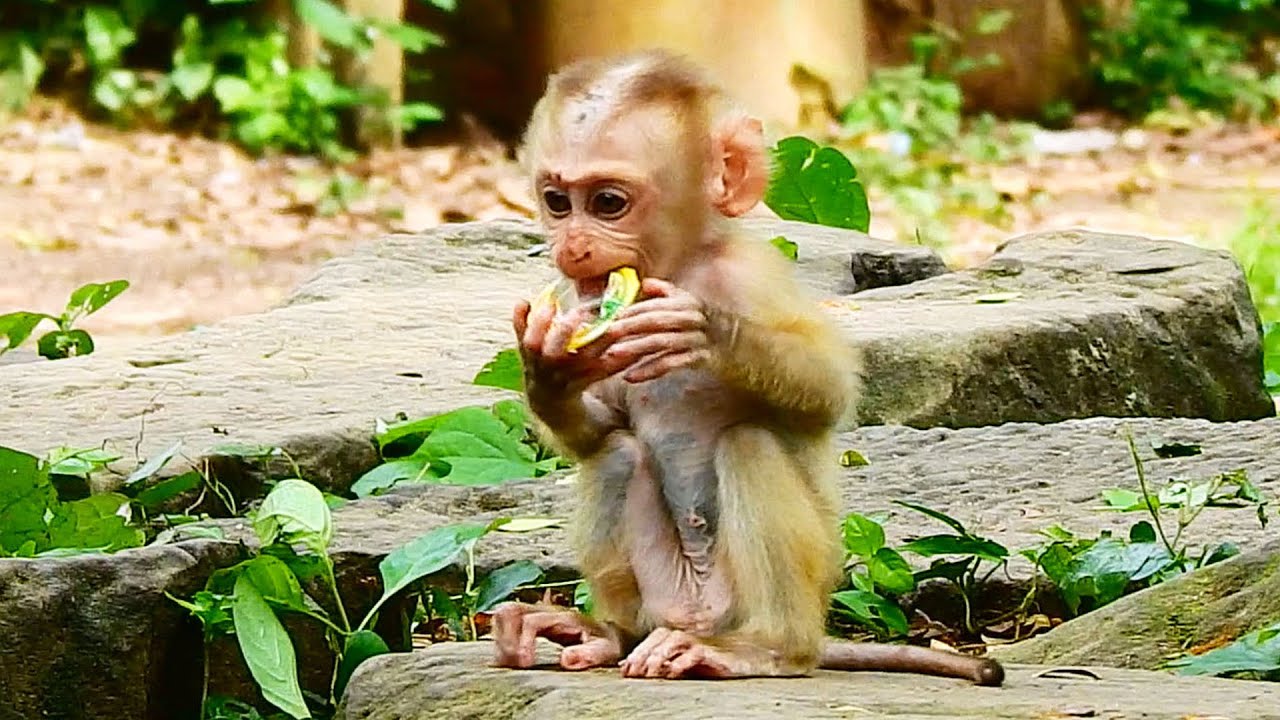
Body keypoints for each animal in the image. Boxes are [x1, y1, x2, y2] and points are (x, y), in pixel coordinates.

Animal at [491, 49, 1004, 687]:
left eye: (608, 203)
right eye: (557, 201)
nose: (571, 247)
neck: (681, 265)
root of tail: (697, 617)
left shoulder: (750, 275)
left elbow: (830, 388)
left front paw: (706, 330)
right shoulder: (581, 302)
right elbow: (596, 429)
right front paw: (549, 372)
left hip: (780, 590)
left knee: (749, 445)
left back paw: (769, 650)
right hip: (665, 599)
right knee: (615, 455)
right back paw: (607, 634)